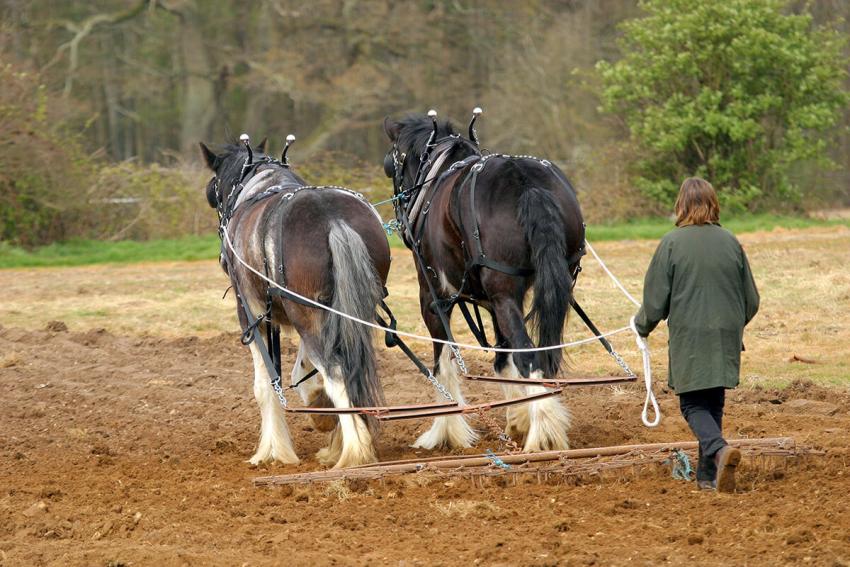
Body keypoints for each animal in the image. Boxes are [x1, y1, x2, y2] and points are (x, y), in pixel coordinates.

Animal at [200, 138, 391, 468]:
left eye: (214, 192)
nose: (223, 257)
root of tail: (333, 218)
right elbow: (302, 373)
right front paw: (320, 411)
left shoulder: (253, 314)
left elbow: (266, 385)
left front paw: (272, 452)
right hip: (335, 312)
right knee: (348, 365)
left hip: (305, 313)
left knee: (336, 372)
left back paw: (354, 454)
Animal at [382, 114, 585, 452]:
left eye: (391, 163)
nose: (401, 214)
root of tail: (525, 181)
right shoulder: (494, 301)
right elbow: (503, 359)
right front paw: (516, 418)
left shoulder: (433, 297)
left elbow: (443, 364)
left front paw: (445, 432)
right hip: (545, 285)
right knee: (539, 352)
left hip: (498, 294)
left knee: (530, 356)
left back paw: (542, 432)